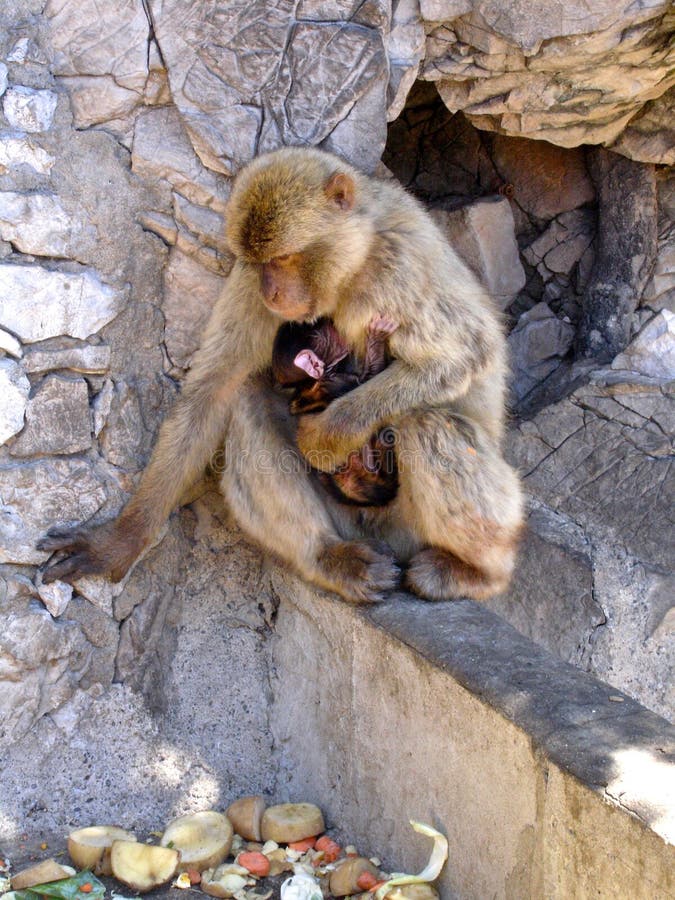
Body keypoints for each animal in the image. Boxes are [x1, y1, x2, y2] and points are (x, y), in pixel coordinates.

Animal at [271, 314, 399, 506]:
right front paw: (378, 335)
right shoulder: (335, 383)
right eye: (324, 329)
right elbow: (369, 380)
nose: (331, 320)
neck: (309, 383)